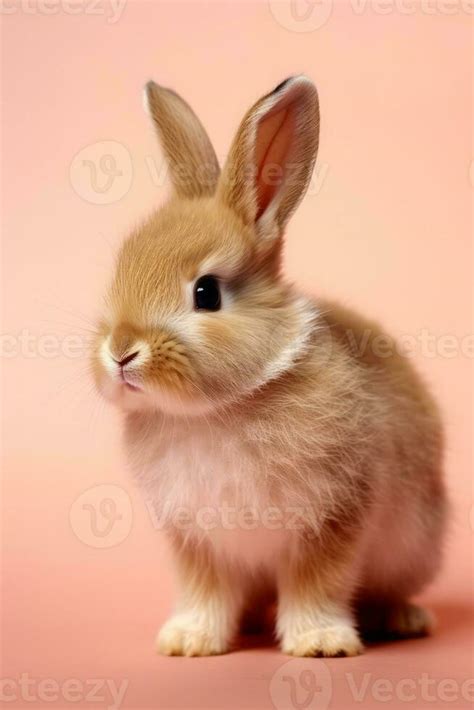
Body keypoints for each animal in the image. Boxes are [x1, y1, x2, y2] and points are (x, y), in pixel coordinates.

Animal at [92, 75, 447, 657]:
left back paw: (403, 618)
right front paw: (188, 642)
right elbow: (208, 591)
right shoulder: (197, 540)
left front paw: (321, 644)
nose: (121, 351)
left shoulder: (331, 520)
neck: (218, 410)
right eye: (120, 274)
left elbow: (316, 584)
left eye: (206, 293)